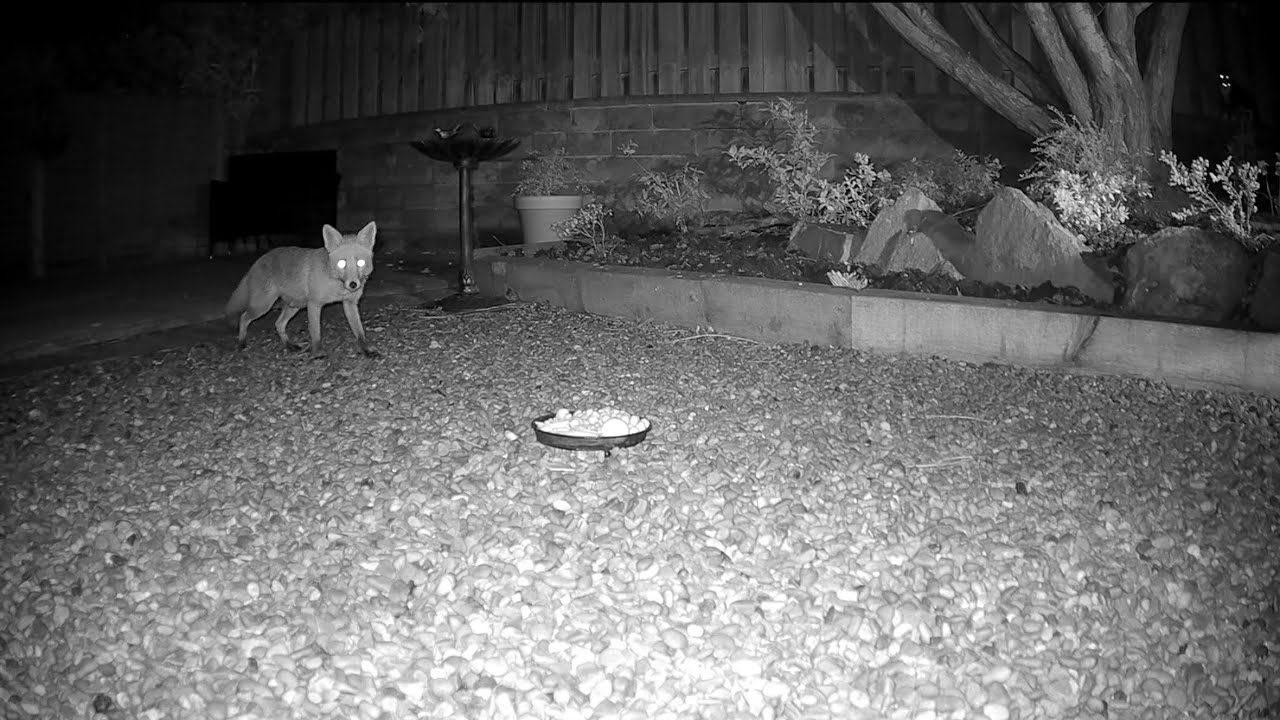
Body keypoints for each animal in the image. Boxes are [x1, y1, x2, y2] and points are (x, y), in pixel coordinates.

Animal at [225, 221, 380, 359]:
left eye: (361, 263)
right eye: (342, 263)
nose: (353, 285)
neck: (336, 284)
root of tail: (259, 260)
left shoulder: (350, 304)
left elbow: (359, 332)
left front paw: (366, 350)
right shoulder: (314, 304)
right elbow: (315, 332)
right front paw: (317, 353)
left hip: (294, 306)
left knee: (278, 324)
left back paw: (289, 345)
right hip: (263, 306)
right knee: (244, 317)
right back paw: (242, 343)